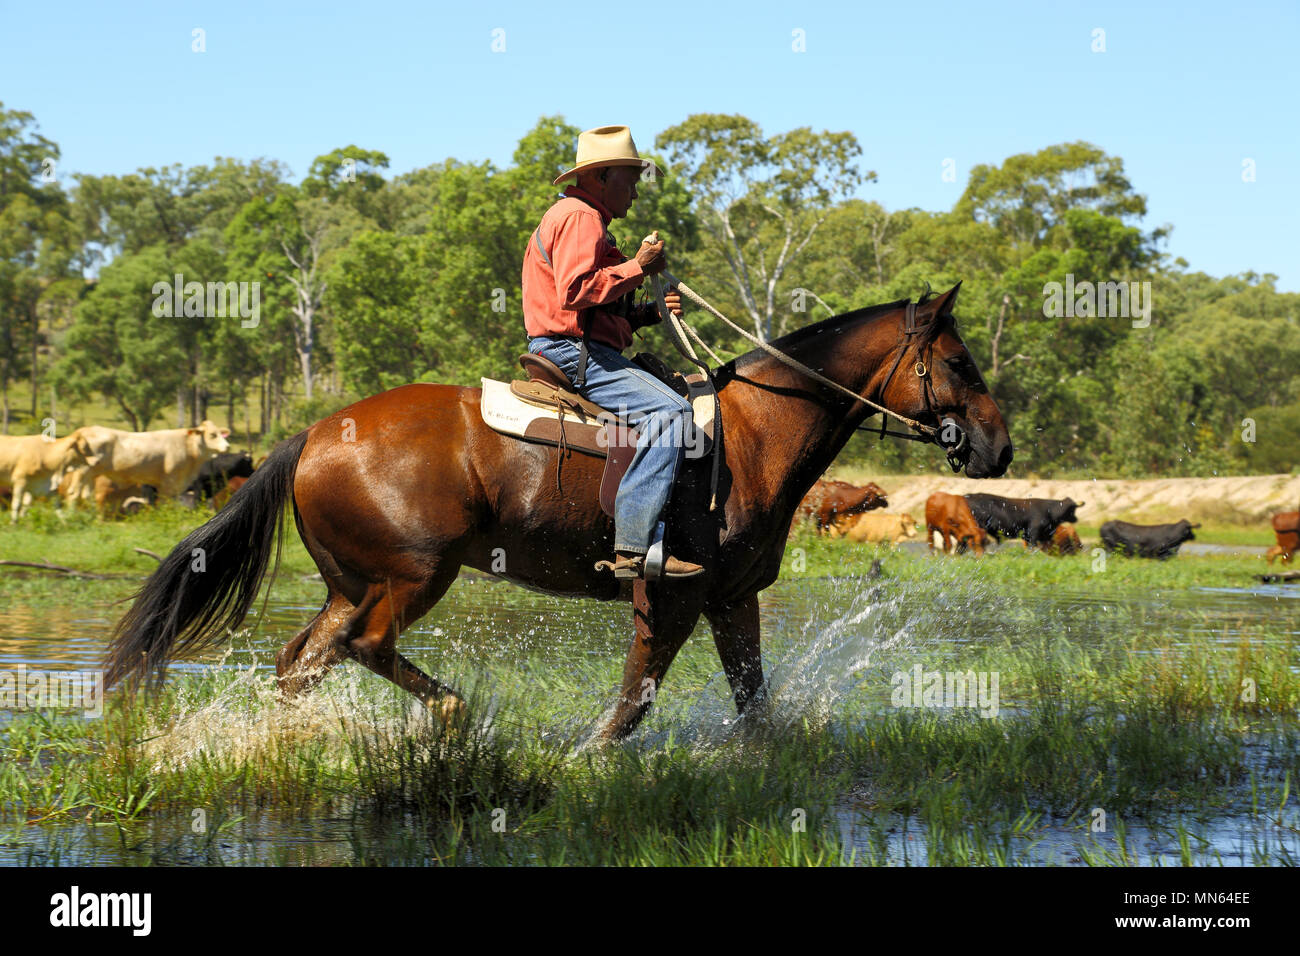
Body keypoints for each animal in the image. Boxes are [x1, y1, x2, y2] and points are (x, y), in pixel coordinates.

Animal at [106, 282, 1008, 738]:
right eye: (960, 361)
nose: (996, 448)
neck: (755, 432)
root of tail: (315, 434)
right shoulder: (671, 595)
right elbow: (633, 702)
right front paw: (590, 762)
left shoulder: (731, 596)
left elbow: (754, 701)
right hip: (413, 577)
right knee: (364, 647)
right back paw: (452, 709)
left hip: (349, 584)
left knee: (304, 660)